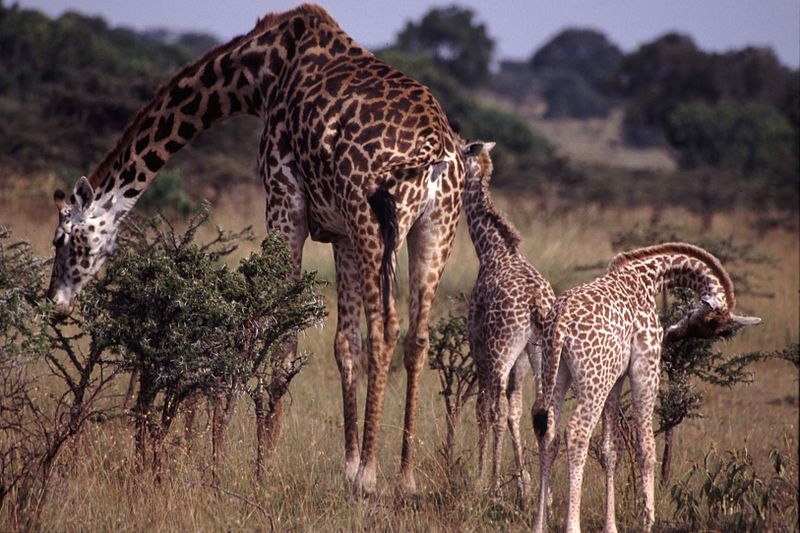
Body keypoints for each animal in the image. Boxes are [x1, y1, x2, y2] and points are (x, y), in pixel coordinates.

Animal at [45, 4, 465, 496]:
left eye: (62, 240)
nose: (55, 302)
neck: (259, 72)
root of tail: (434, 152)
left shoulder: (284, 198)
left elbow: (281, 339)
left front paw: (262, 468)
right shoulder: (340, 232)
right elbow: (344, 343)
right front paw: (343, 465)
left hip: (376, 225)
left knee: (386, 330)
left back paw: (371, 475)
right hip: (434, 230)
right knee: (417, 336)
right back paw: (405, 477)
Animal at [461, 141, 555, 504]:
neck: (491, 249)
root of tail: (535, 304)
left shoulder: (480, 347)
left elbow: (485, 408)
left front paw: (483, 480)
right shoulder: (522, 358)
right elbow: (516, 410)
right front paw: (524, 484)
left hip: (501, 350)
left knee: (496, 409)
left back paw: (491, 487)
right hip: (541, 352)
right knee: (541, 407)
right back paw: (545, 493)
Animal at [530, 242, 761, 533]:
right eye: (711, 323)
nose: (671, 334)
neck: (647, 278)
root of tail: (560, 321)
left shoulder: (616, 377)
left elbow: (610, 449)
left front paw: (611, 526)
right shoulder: (645, 366)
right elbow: (646, 447)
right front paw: (648, 519)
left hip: (557, 372)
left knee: (550, 434)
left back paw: (539, 525)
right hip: (593, 380)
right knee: (577, 432)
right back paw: (572, 526)